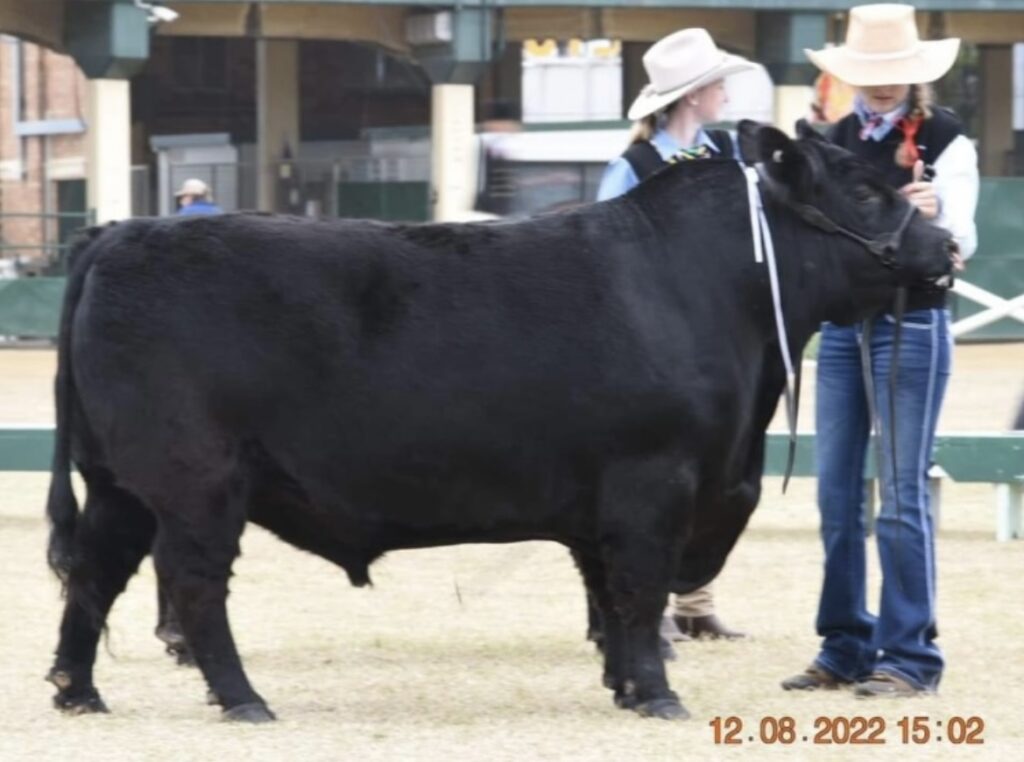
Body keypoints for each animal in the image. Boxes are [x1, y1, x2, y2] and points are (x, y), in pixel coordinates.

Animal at [44, 121, 954, 723]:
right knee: (194, 586)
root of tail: (121, 234)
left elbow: (608, 594)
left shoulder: (603, 501)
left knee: (94, 574)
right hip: (196, 484)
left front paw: (626, 689)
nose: (944, 247)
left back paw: (78, 691)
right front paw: (661, 697)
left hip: (121, 484)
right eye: (865, 191)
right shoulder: (654, 482)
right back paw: (243, 700)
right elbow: (638, 591)